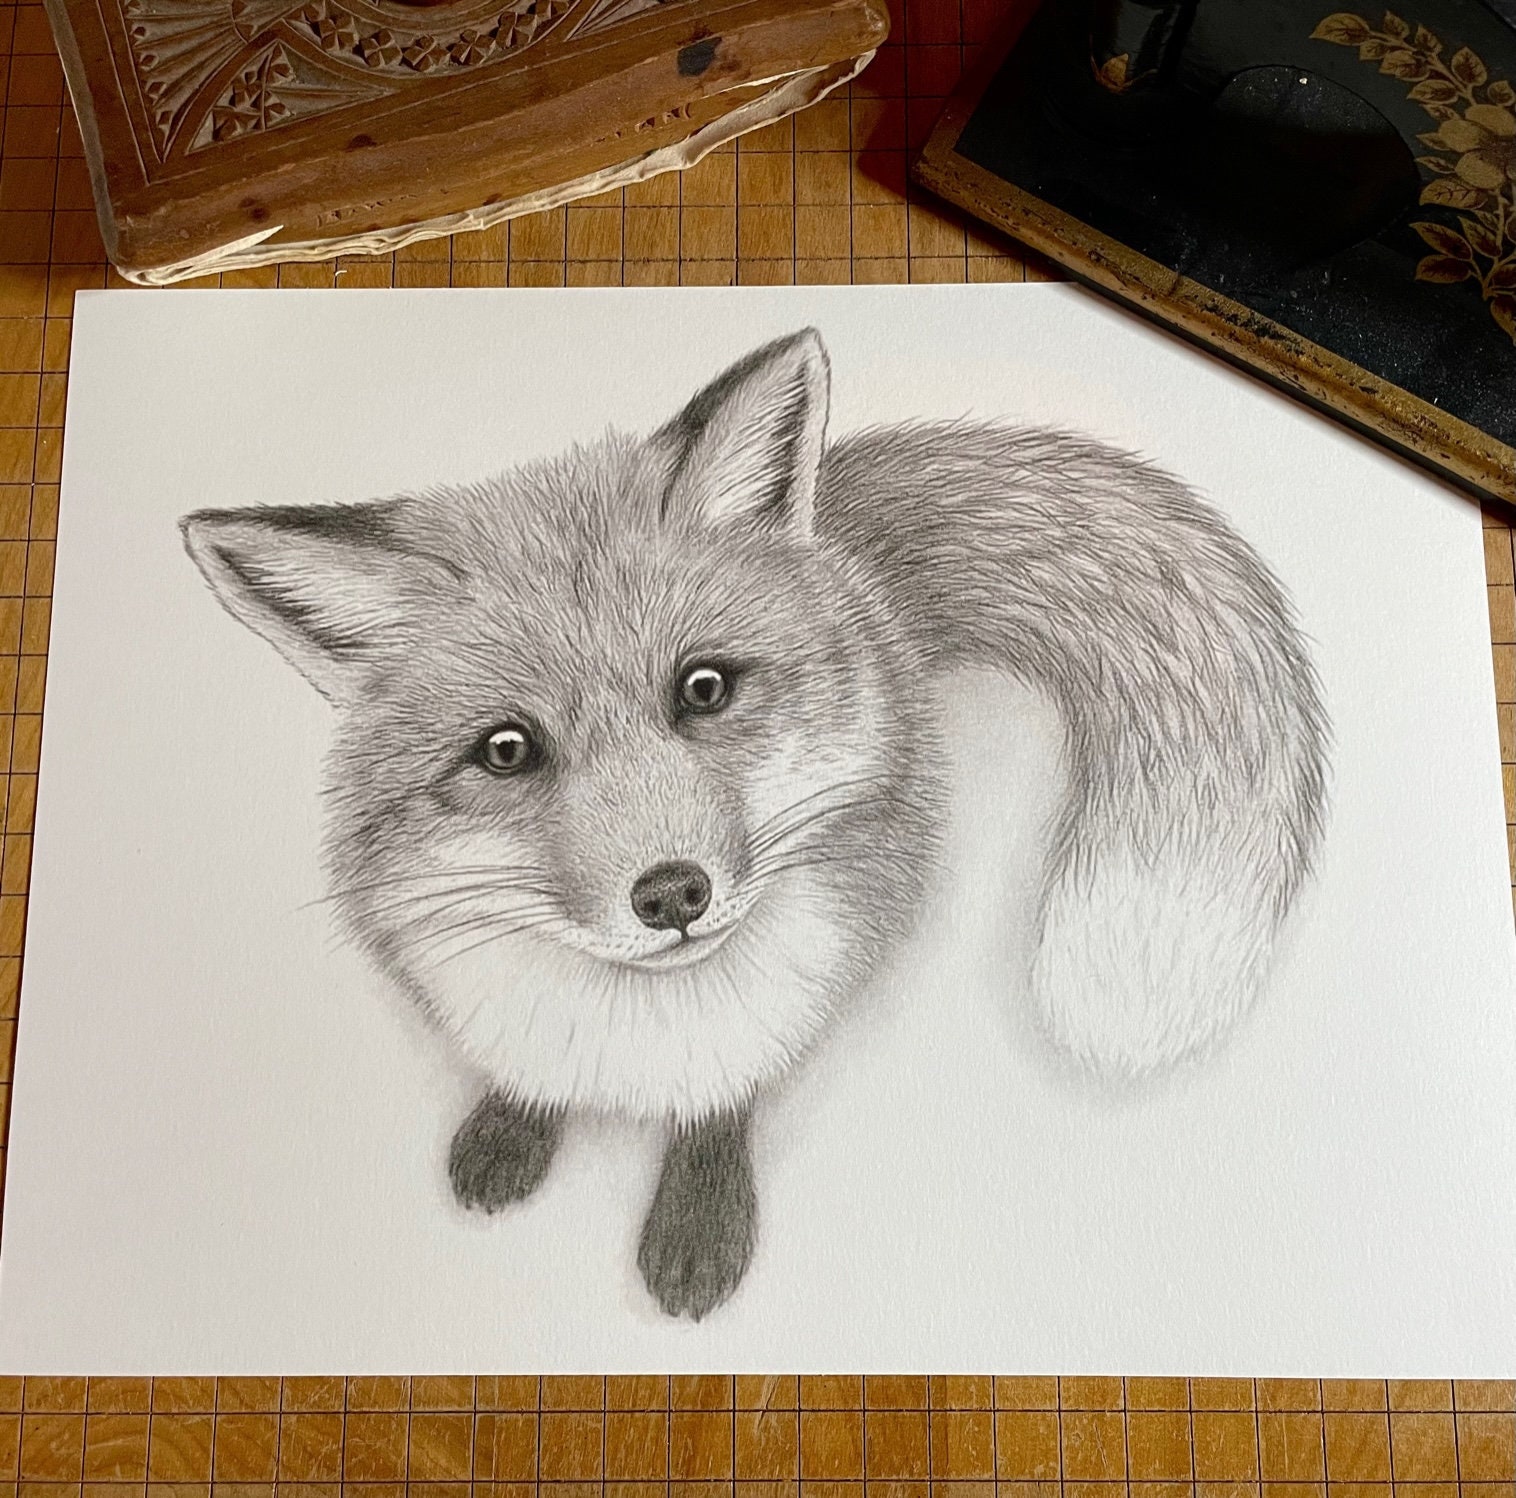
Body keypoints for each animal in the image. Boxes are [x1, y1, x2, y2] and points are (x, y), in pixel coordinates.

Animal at [181, 326, 1328, 1320]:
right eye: (505, 751)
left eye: (703, 688)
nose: (672, 895)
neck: (635, 1034)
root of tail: (848, 566)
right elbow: (522, 1075)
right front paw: (510, 1132)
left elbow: (723, 1100)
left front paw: (698, 1221)